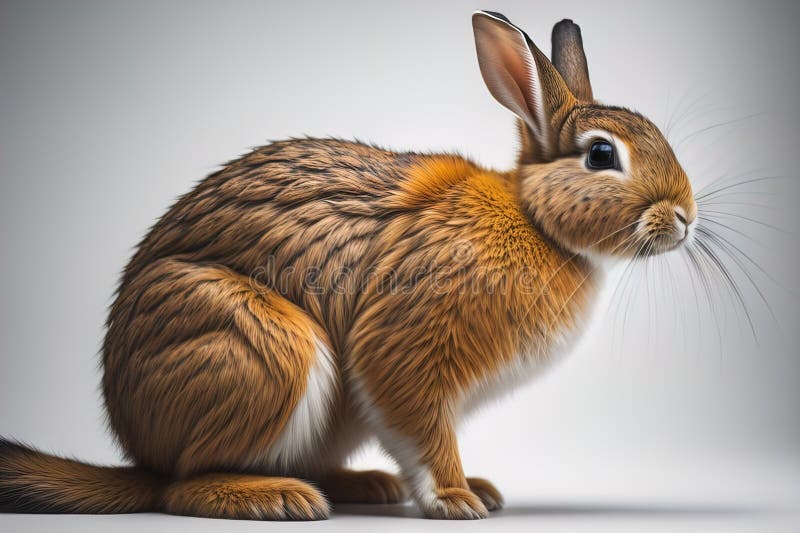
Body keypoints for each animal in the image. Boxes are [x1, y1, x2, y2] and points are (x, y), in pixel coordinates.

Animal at [0, 10, 696, 520]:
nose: (687, 216)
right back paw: (277, 499)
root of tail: (136, 443)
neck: (535, 219)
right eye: (602, 155)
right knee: (179, 486)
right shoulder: (405, 346)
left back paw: (363, 487)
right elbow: (423, 430)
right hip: (261, 348)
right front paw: (457, 499)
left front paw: (477, 490)